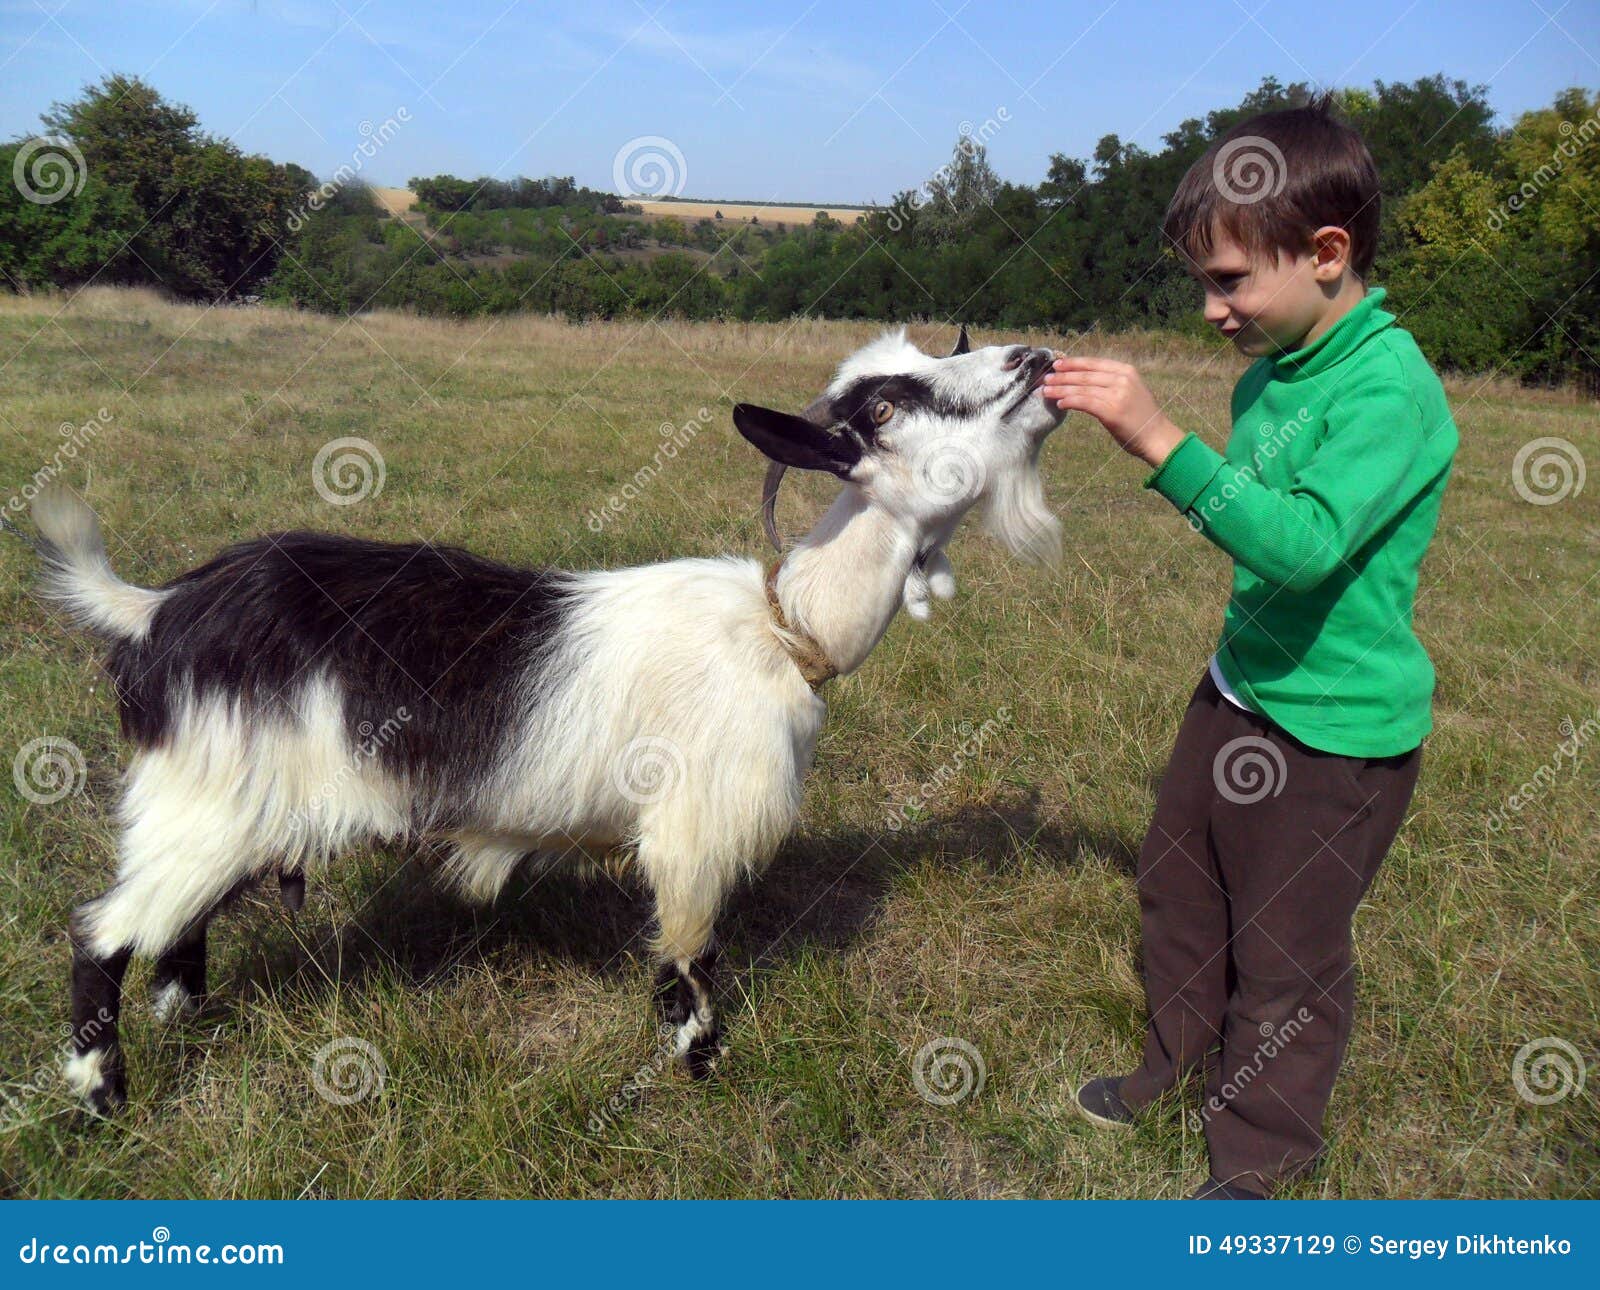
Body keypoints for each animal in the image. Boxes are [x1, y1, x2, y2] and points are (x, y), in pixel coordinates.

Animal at [25, 326, 1064, 1113]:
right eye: (884, 408)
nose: (1036, 360)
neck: (784, 626)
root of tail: (157, 610)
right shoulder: (691, 828)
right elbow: (691, 955)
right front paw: (700, 1066)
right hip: (209, 802)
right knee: (102, 933)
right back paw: (102, 1096)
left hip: (223, 807)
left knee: (175, 922)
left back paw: (185, 1019)